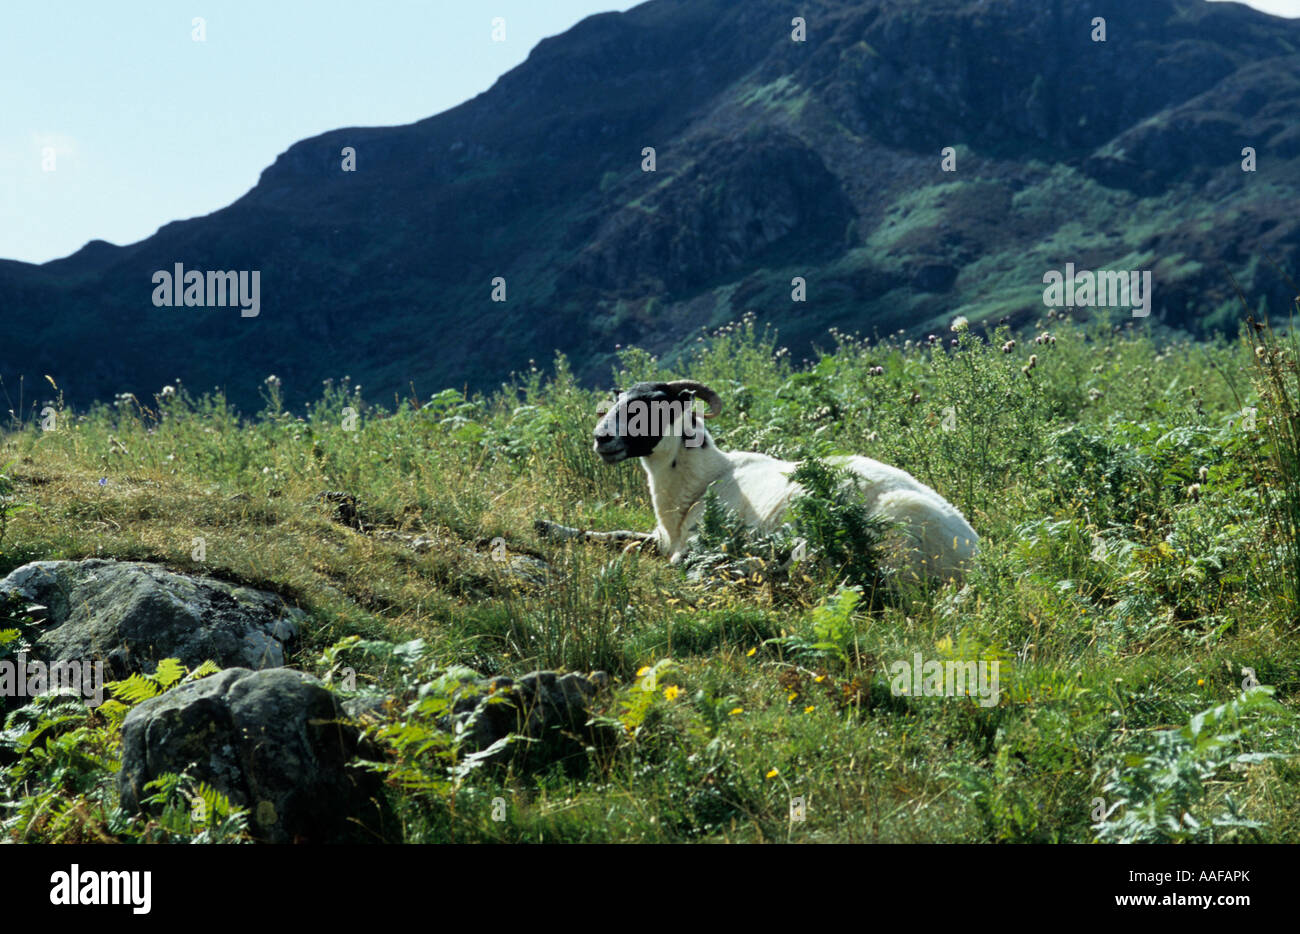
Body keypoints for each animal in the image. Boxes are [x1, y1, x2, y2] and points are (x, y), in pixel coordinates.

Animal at [580, 379, 979, 585]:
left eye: (653, 404)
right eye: (617, 401)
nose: (601, 438)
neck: (705, 479)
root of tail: (974, 554)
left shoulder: (694, 545)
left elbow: (673, 562)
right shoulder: (660, 538)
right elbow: (614, 536)